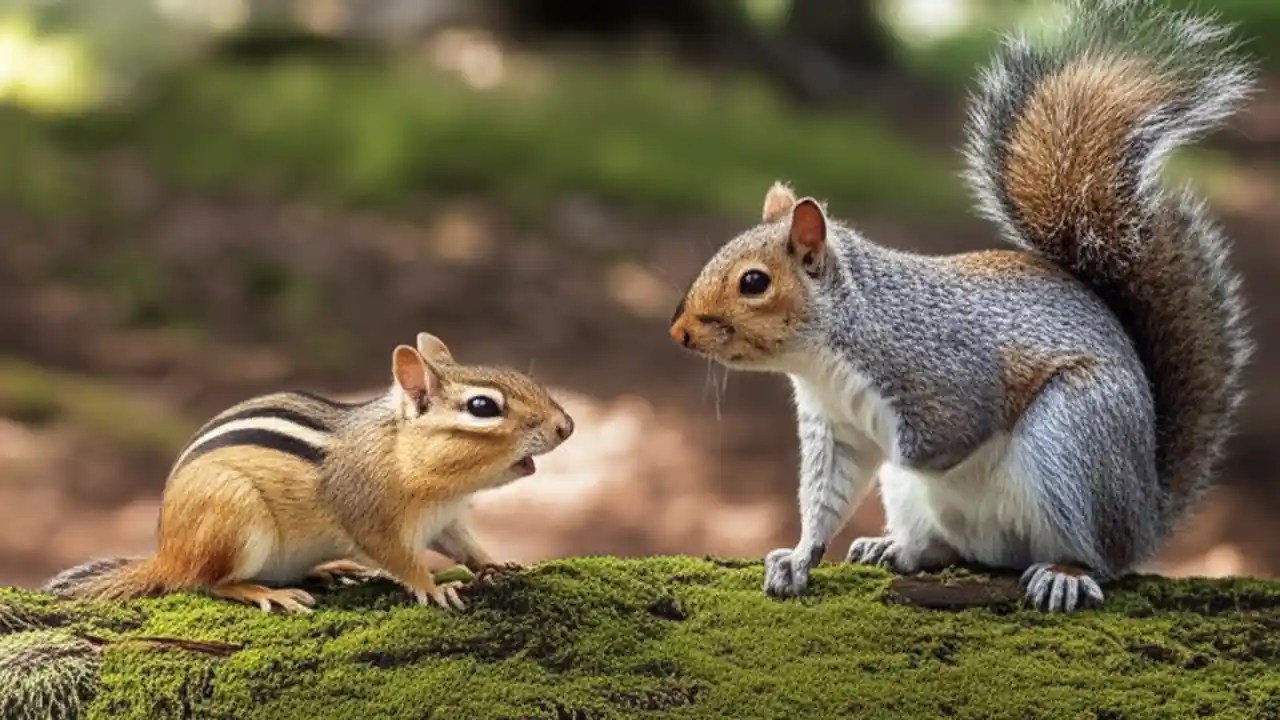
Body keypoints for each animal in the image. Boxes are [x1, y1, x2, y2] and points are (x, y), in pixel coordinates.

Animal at [44, 332, 574, 612]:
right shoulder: (372, 518)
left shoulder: (446, 520)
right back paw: (266, 592)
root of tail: (167, 553)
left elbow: (465, 545)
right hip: (234, 519)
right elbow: (402, 560)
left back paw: (330, 568)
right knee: (209, 582)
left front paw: (495, 562)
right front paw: (435, 587)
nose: (567, 426)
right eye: (484, 407)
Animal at [669, 0, 1253, 612]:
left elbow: (948, 434)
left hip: (1073, 437)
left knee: (1102, 559)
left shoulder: (946, 380)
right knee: (944, 547)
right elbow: (828, 495)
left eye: (754, 282)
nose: (680, 331)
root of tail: (1145, 515)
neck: (829, 353)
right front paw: (799, 557)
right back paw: (895, 548)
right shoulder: (836, 429)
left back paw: (1066, 572)